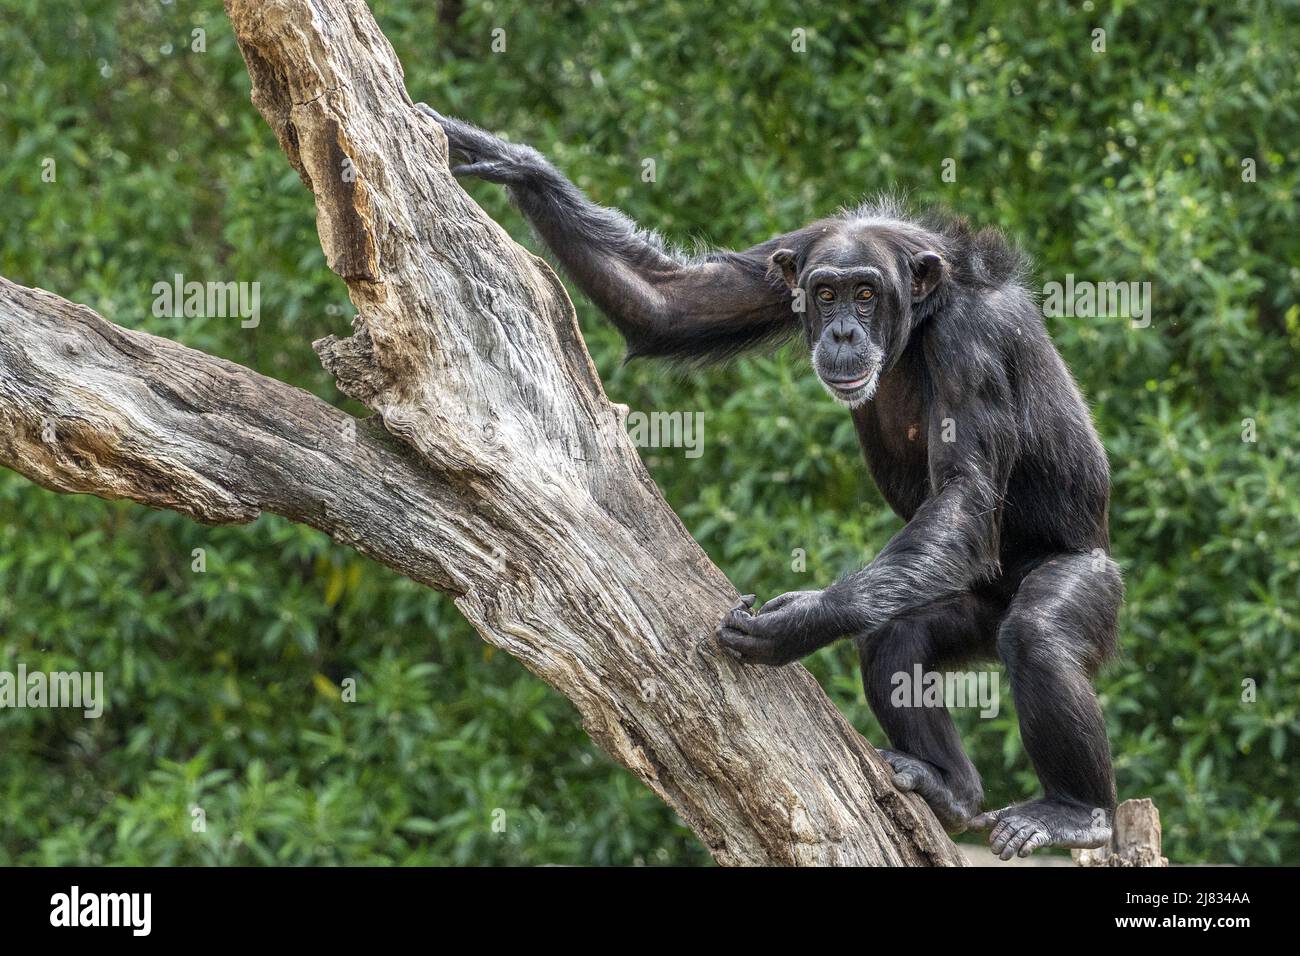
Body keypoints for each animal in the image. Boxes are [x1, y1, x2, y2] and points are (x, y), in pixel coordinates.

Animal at [418, 104, 1121, 860]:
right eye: (826, 292)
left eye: (867, 294)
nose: (841, 331)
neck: (924, 316)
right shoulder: (790, 255)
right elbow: (671, 304)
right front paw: (512, 160)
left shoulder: (976, 339)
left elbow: (963, 491)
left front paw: (802, 620)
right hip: (962, 603)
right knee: (897, 636)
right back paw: (949, 785)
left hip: (1094, 583)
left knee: (1040, 636)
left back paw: (1074, 811)